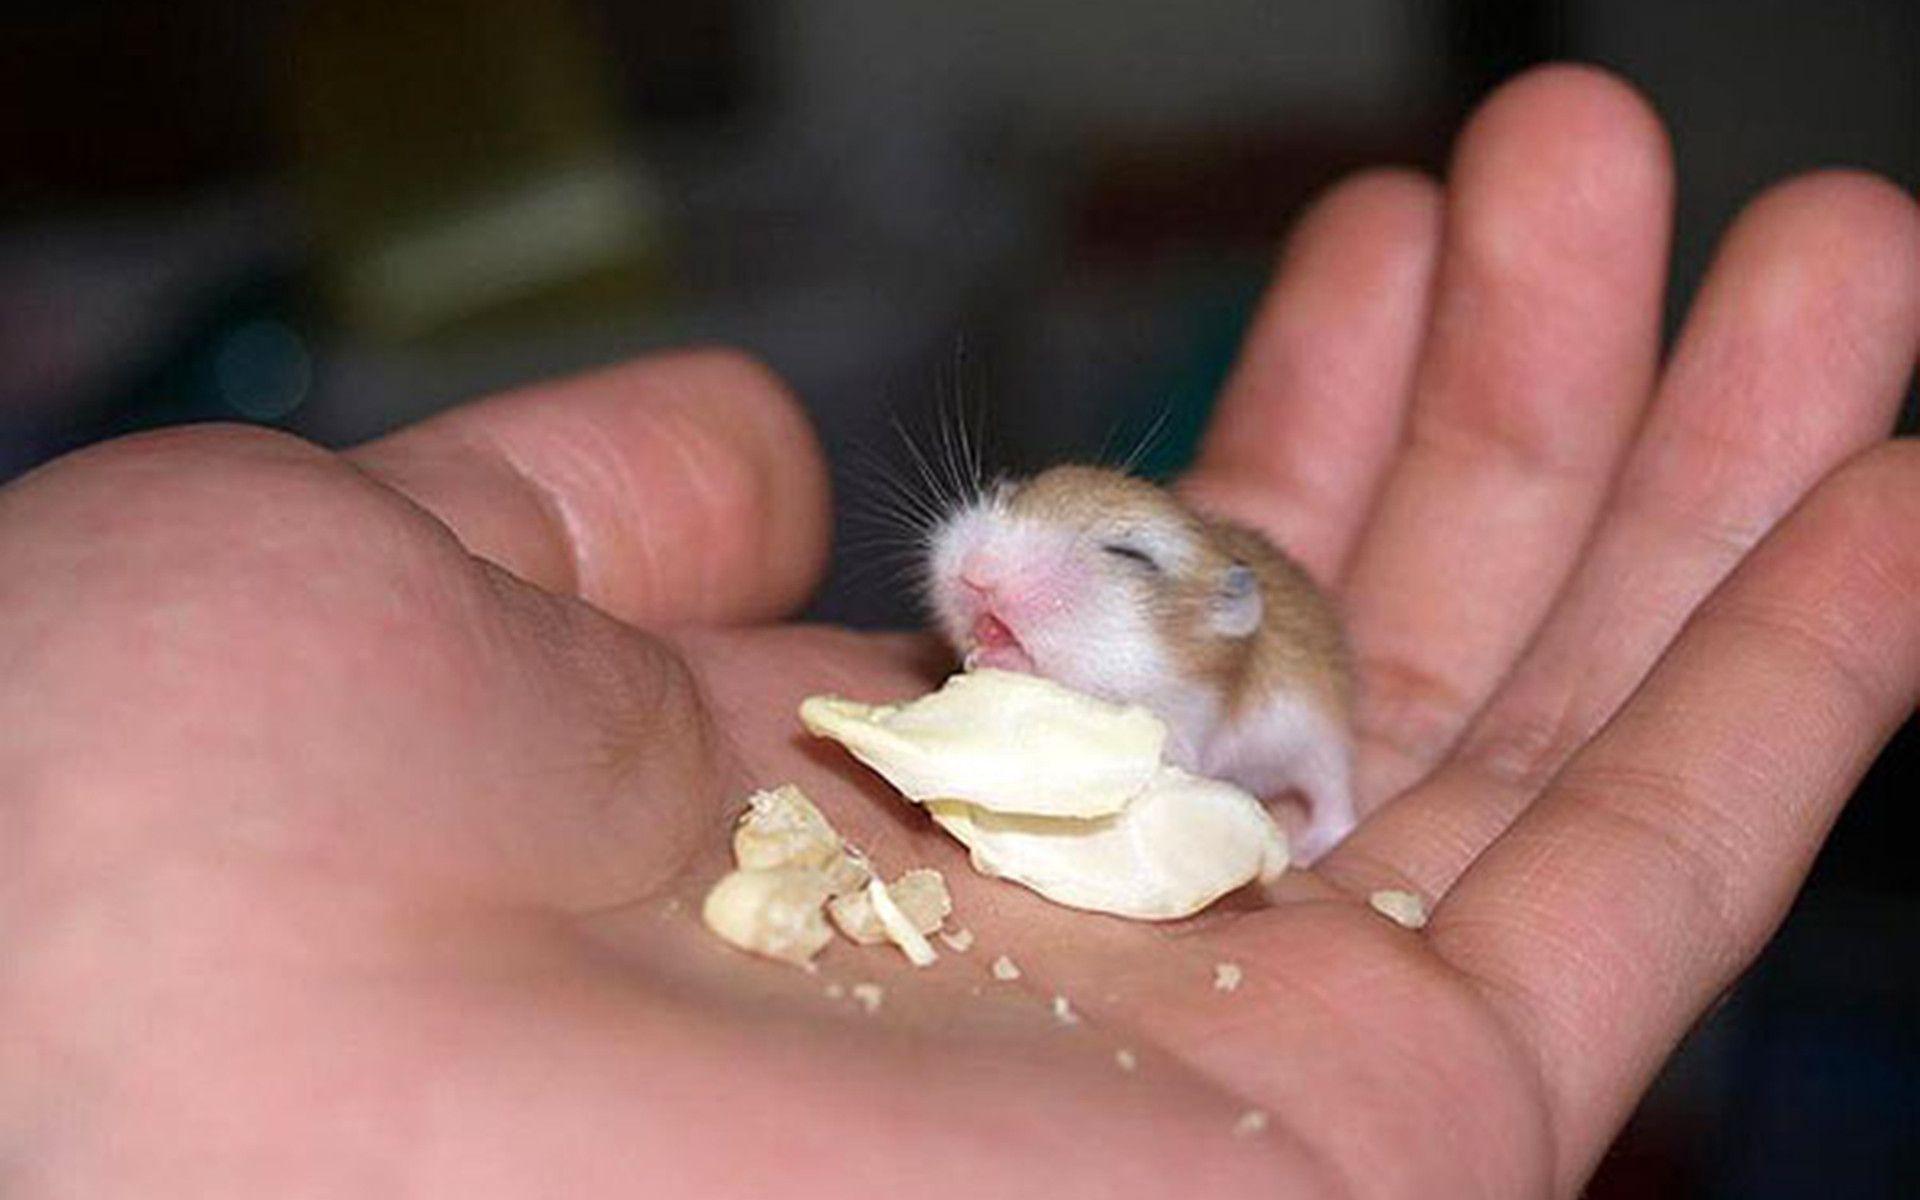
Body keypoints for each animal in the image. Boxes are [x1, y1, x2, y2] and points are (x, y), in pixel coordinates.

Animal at [925, 465, 1356, 863]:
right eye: (1006, 494)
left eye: (1129, 554)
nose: (976, 571)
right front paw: (976, 651)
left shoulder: (1178, 736)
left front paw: (997, 655)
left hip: (1321, 744)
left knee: (1337, 804)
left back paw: (1304, 849)